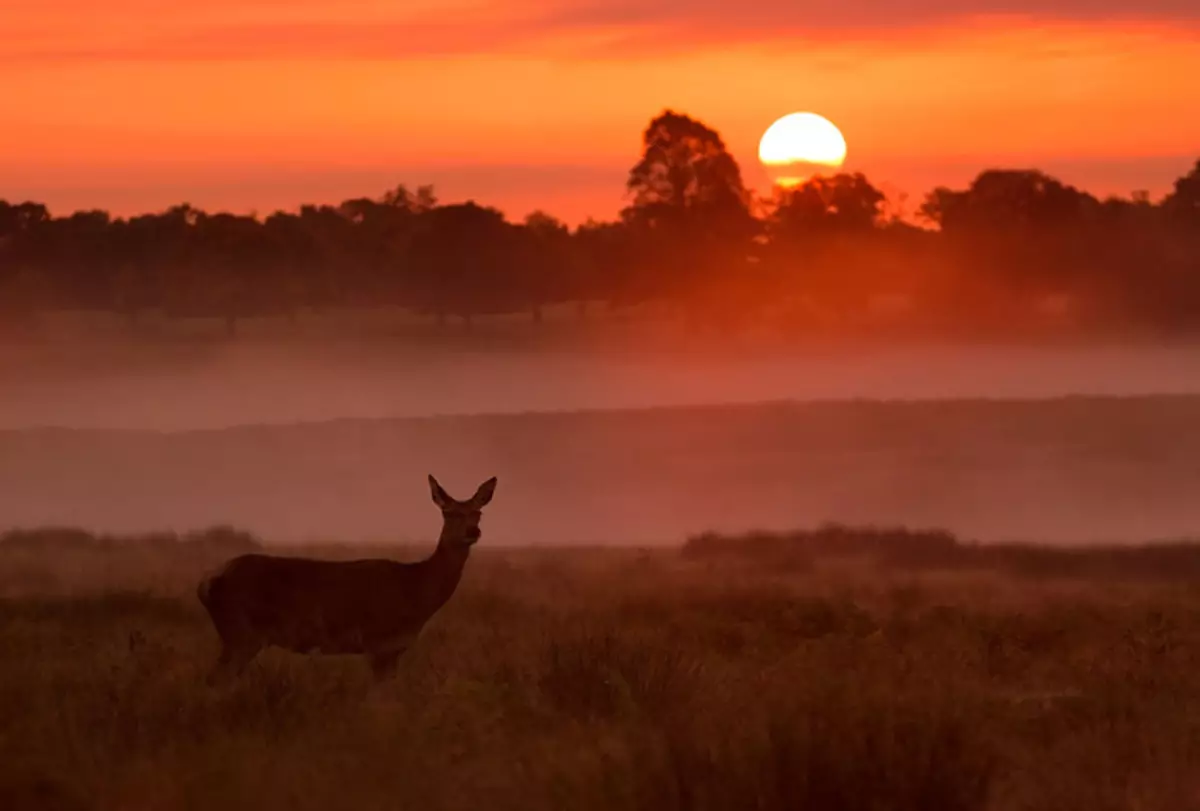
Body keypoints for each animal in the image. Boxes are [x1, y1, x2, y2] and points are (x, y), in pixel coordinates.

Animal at [196, 475, 496, 686]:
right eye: (448, 512)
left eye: (478, 512)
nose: (473, 531)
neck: (415, 592)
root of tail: (207, 583)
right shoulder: (378, 643)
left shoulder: (394, 649)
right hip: (241, 633)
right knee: (215, 680)